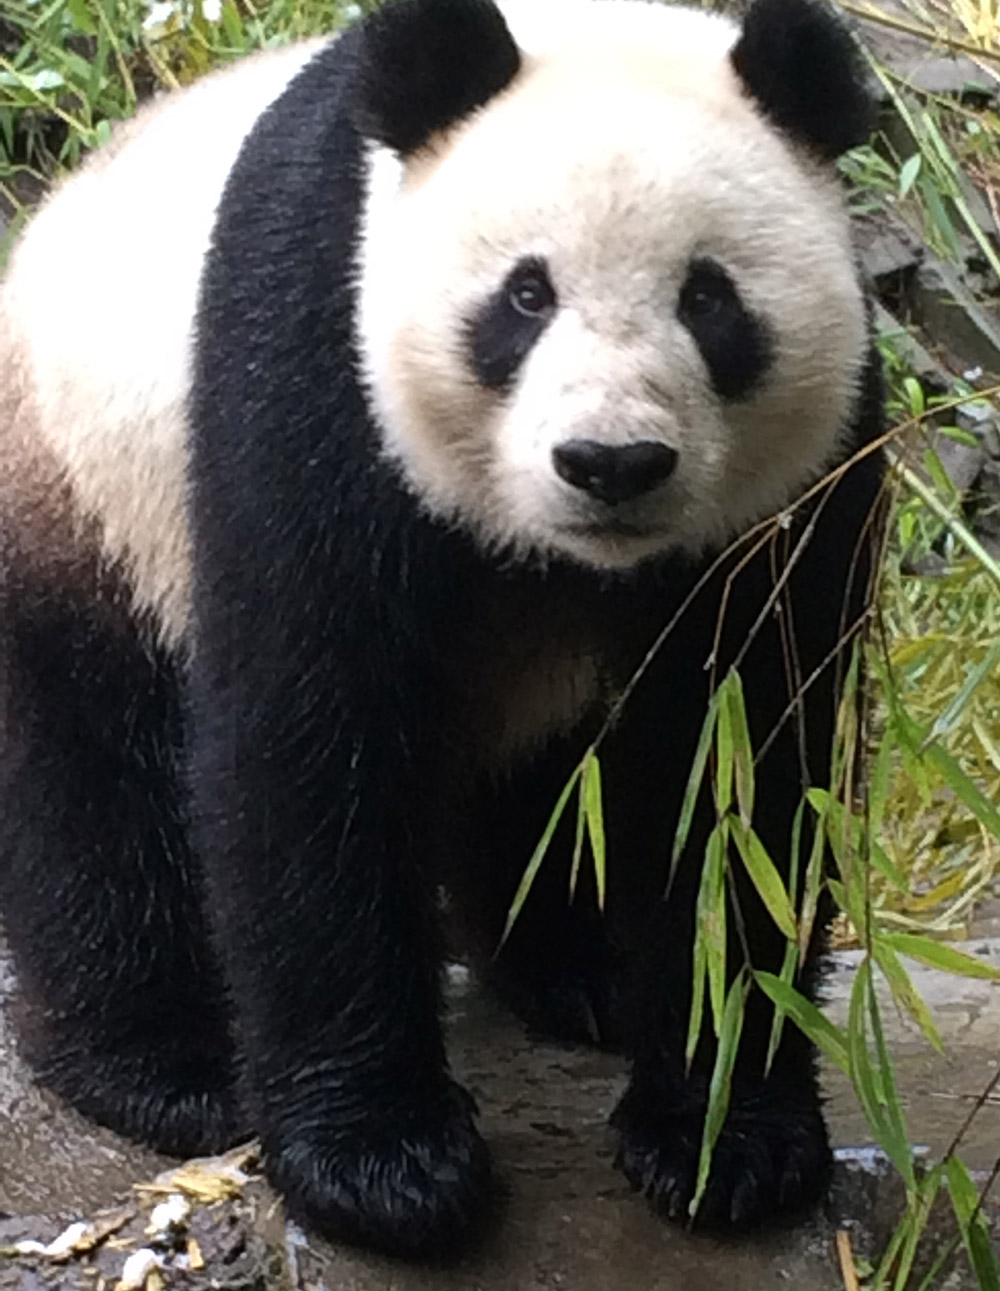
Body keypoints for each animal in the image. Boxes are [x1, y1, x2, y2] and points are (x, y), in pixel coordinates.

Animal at [0, 0, 885, 1260]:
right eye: (523, 297)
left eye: (709, 299)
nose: (611, 463)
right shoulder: (317, 359)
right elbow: (311, 736)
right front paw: (384, 1166)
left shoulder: (799, 482)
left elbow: (740, 771)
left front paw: (726, 1139)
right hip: (88, 491)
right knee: (93, 773)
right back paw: (164, 1065)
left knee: (554, 779)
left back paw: (580, 968)